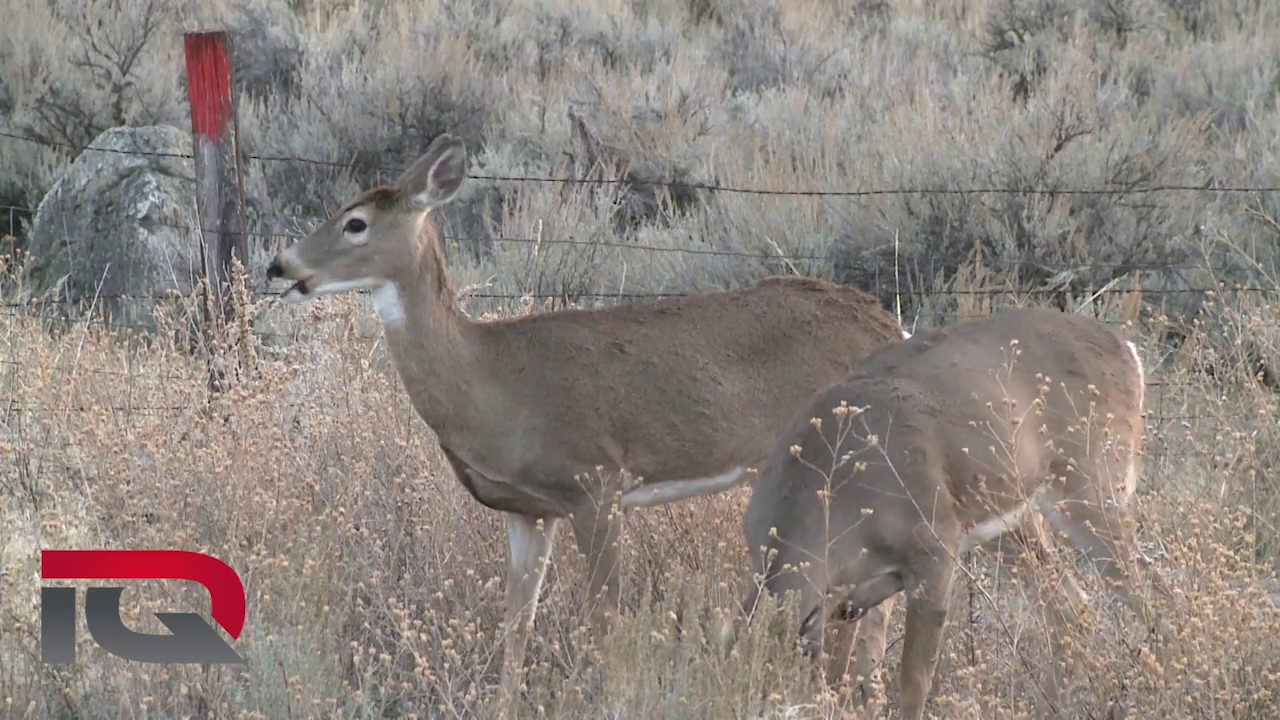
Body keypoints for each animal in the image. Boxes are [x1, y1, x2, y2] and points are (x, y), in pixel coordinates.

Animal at [263, 132, 911, 709]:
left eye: (356, 223)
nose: (278, 265)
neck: (491, 380)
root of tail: (890, 327)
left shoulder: (596, 483)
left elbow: (605, 624)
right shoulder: (529, 511)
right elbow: (517, 626)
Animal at [727, 307, 1172, 720]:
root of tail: (1128, 350)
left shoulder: (935, 546)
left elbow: (913, 679)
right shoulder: (849, 597)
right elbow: (849, 670)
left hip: (1093, 484)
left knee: (1148, 584)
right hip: (1012, 520)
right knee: (1073, 606)